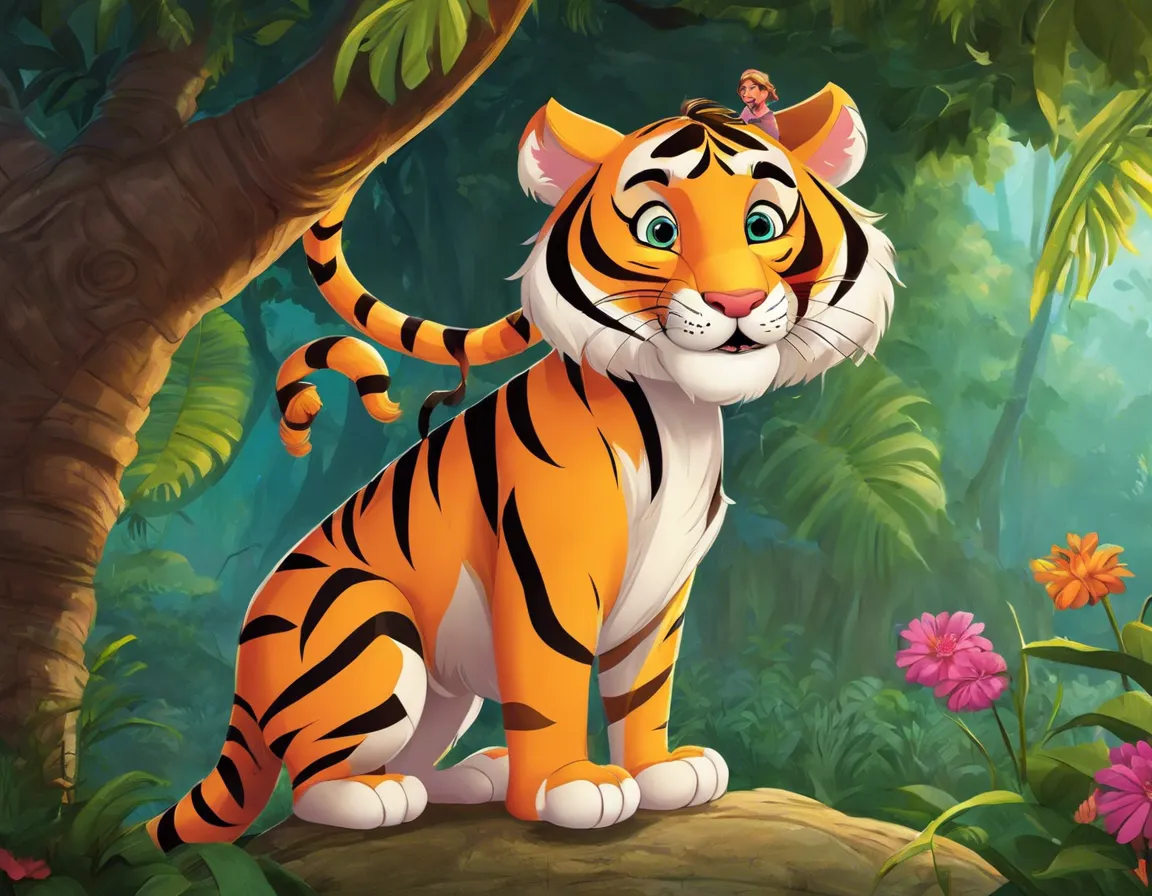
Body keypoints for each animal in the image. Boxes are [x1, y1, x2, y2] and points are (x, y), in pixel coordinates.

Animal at [146, 84, 896, 849]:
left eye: (762, 224)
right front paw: (571, 788)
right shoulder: (549, 570)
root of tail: (244, 675)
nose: (736, 303)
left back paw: (468, 777)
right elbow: (553, 686)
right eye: (659, 231)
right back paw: (374, 799)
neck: (677, 407)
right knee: (312, 782)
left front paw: (661, 775)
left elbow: (645, 687)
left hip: (445, 695)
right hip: (370, 622)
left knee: (413, 759)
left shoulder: (664, 587)